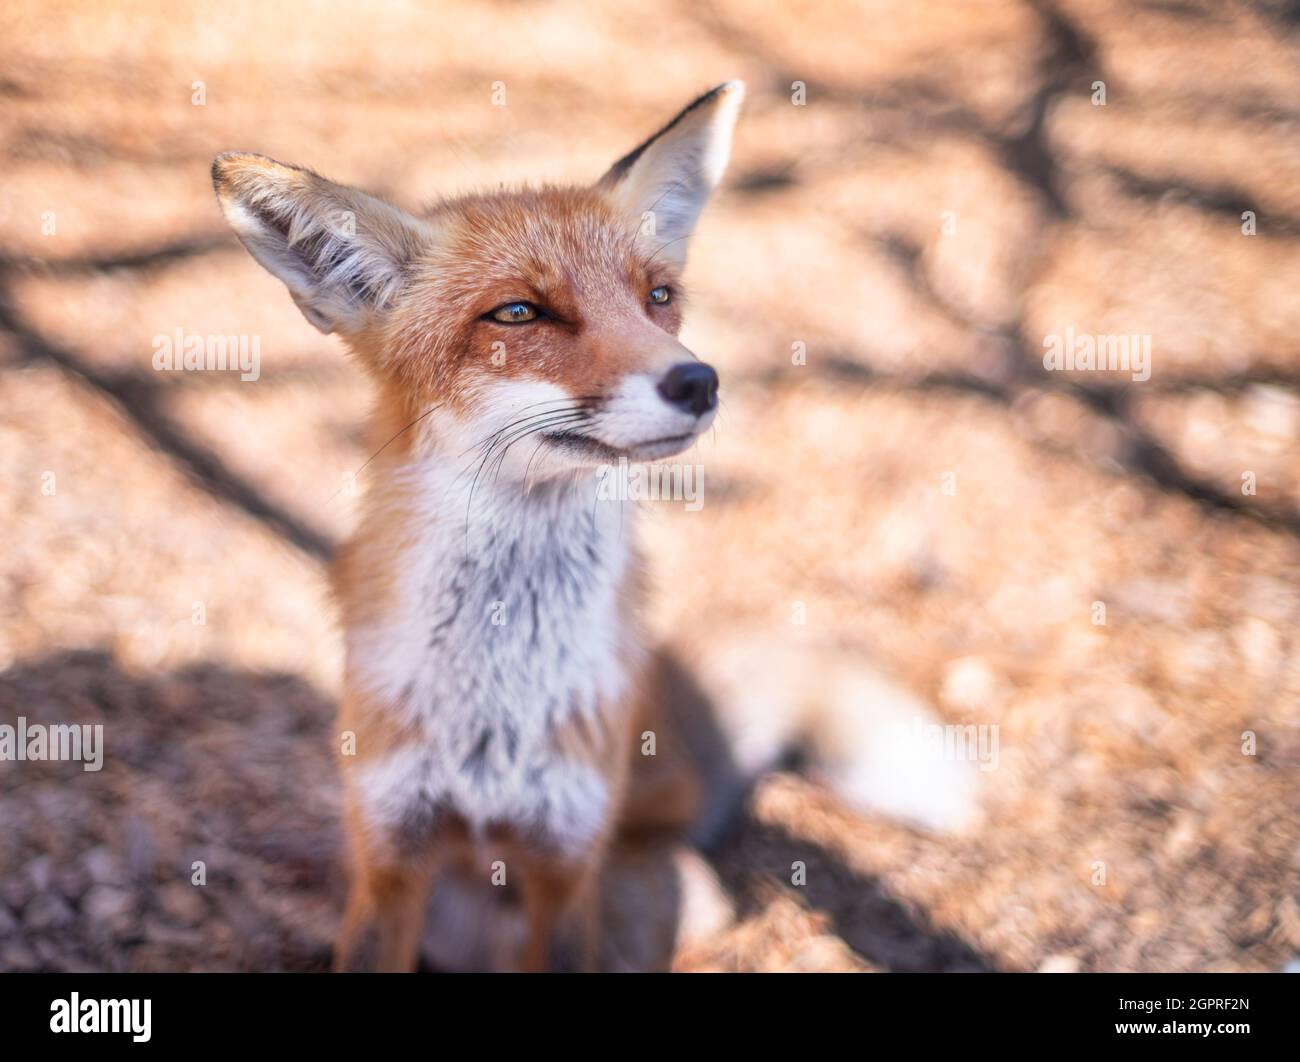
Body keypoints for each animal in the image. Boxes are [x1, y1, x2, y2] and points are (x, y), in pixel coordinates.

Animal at [213, 81, 978, 972]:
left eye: (658, 298)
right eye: (519, 312)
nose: (699, 381)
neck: (497, 711)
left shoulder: (565, 861)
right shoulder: (391, 853)